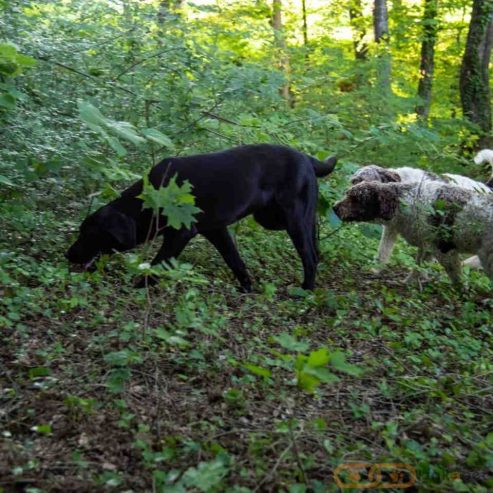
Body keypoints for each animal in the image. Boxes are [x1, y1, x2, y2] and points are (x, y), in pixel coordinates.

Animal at [66, 143, 334, 288]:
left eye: (88, 233)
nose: (68, 255)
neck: (152, 198)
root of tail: (307, 157)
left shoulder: (180, 235)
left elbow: (156, 266)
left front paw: (137, 289)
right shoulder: (216, 230)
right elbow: (236, 261)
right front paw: (247, 289)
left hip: (293, 220)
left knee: (310, 257)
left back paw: (305, 292)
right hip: (295, 220)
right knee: (316, 251)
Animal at [348, 163, 490, 268]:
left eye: (363, 181)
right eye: (354, 181)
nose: (349, 194)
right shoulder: (391, 228)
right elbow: (383, 250)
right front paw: (376, 269)